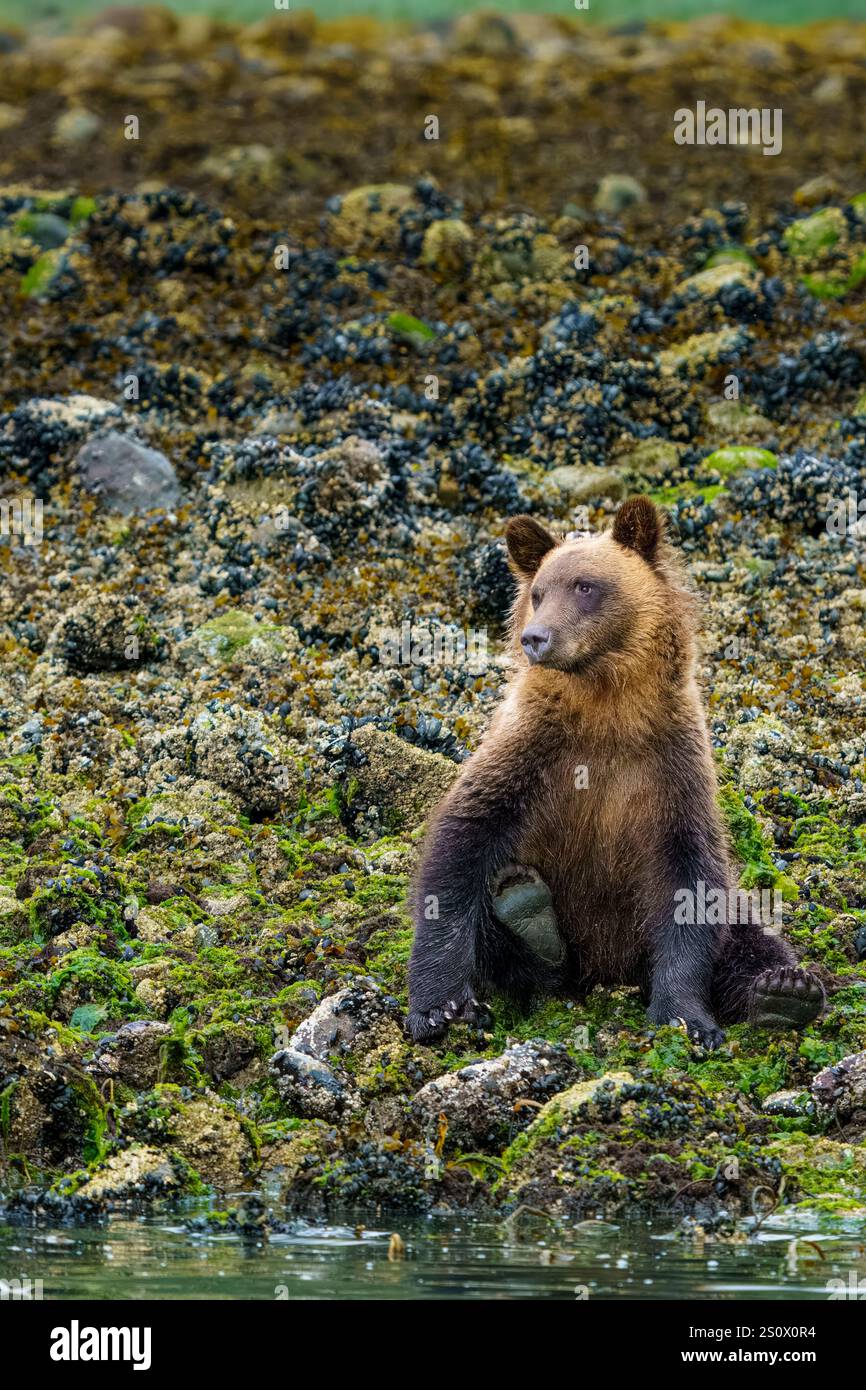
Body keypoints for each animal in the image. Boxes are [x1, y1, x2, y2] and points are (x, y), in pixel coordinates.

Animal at [407, 496, 824, 1048]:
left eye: (585, 586)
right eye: (538, 592)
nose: (535, 637)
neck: (606, 708)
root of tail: (607, 971)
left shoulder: (670, 771)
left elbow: (691, 882)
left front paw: (686, 1017)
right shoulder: (530, 753)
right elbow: (461, 845)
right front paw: (440, 1007)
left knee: (746, 933)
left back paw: (784, 991)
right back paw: (528, 914)